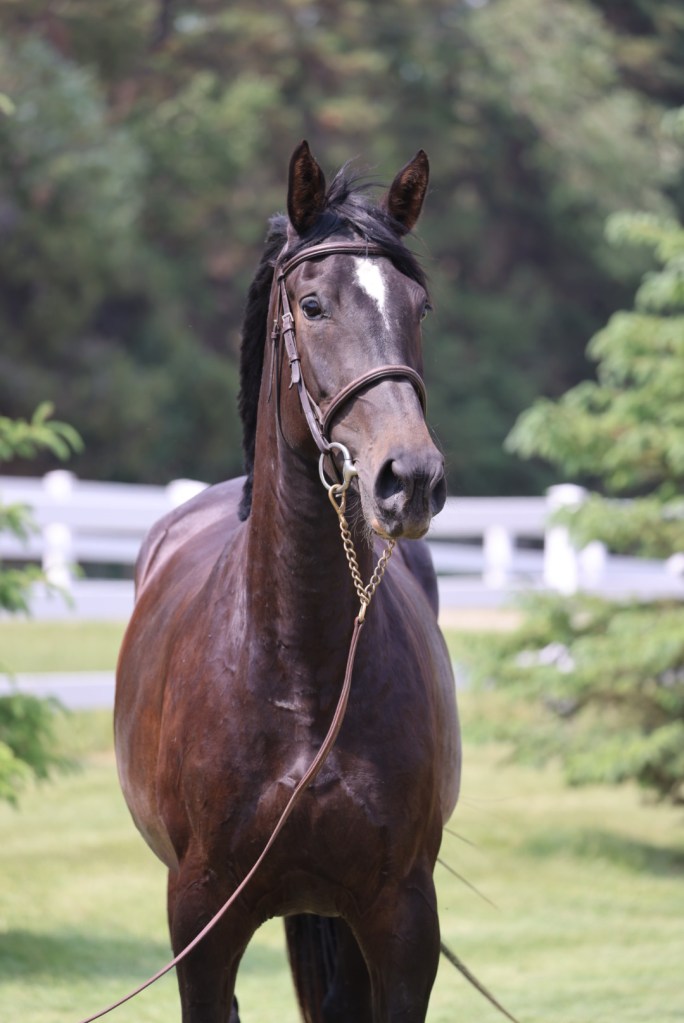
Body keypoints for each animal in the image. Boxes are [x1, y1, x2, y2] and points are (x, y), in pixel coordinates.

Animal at [114, 140, 461, 1023]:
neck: (300, 673)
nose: (410, 479)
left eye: (420, 307)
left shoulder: (403, 920)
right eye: (312, 304)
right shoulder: (200, 919)